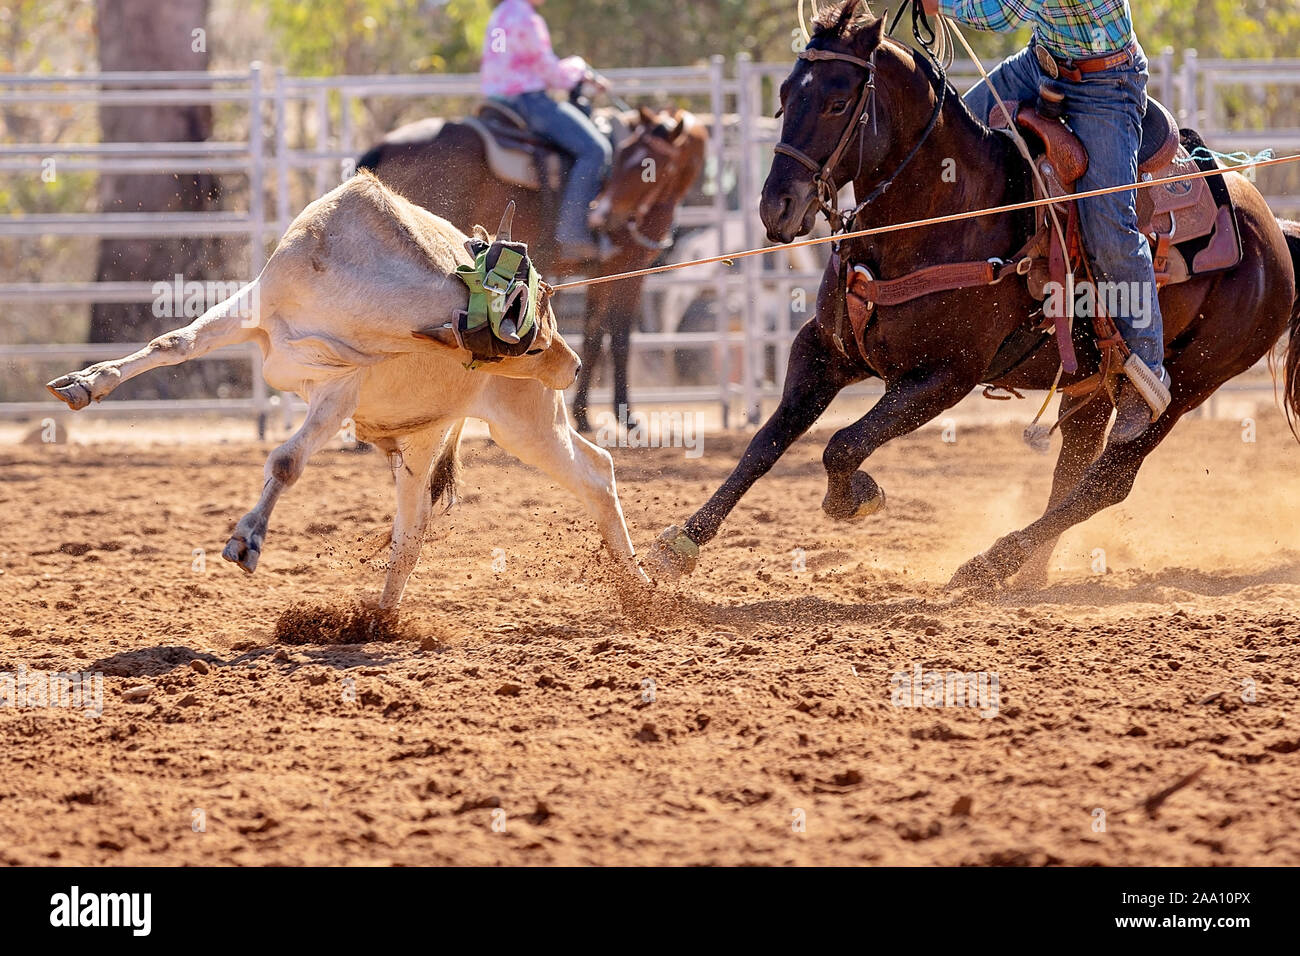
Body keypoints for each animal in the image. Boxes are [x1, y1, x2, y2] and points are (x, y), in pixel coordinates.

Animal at [46, 170, 650, 611]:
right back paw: (376, 618)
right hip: (429, 436)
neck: (357, 280)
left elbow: (287, 461)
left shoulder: (339, 389)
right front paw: (82, 385)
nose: (572, 364)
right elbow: (172, 342)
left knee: (595, 473)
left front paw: (247, 541)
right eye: (530, 342)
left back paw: (642, 586)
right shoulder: (253, 309)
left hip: (523, 423)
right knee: (414, 526)